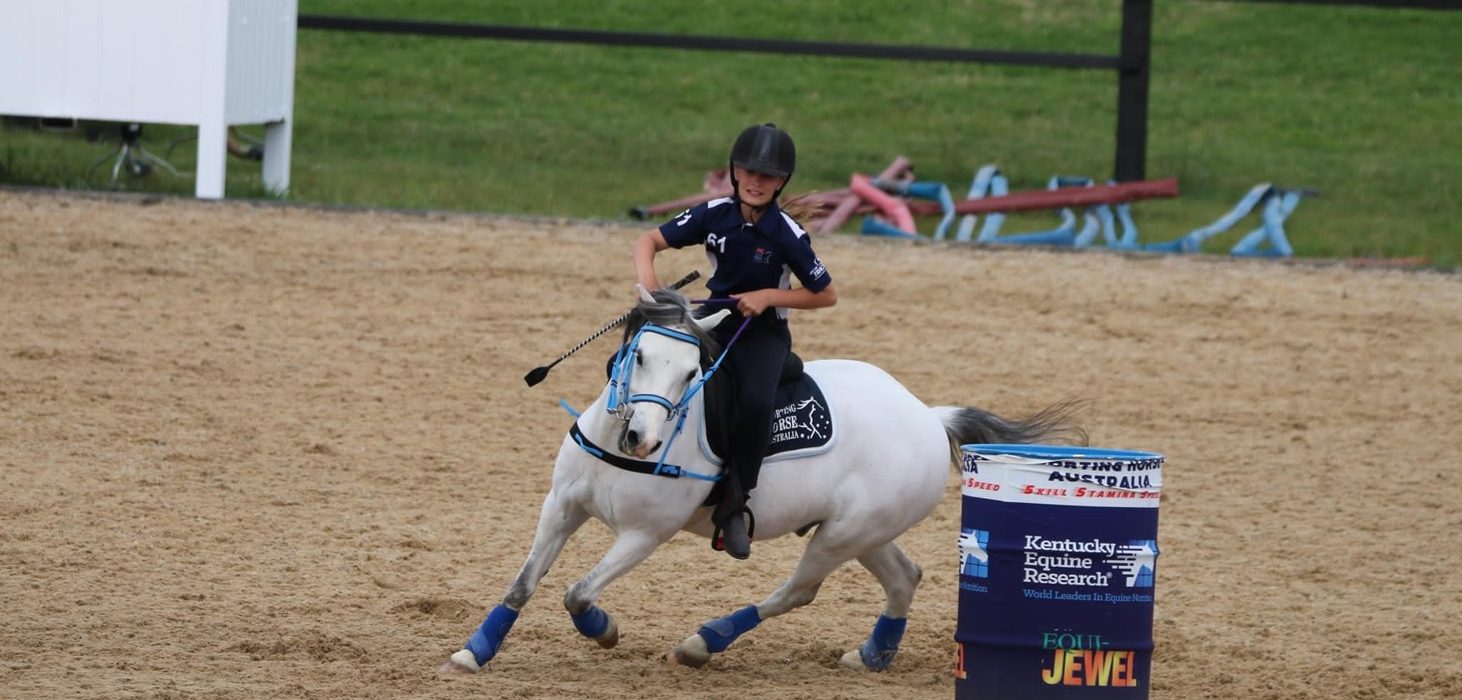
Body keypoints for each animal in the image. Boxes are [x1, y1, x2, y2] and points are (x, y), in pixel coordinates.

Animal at [442, 286, 1083, 674]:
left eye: (692, 371)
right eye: (639, 356)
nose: (641, 439)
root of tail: (929, 417)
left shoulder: (645, 535)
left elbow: (578, 593)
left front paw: (604, 630)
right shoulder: (561, 505)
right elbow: (523, 584)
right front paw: (476, 651)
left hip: (841, 537)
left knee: (800, 591)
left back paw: (703, 642)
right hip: (864, 532)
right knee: (905, 578)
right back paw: (872, 655)